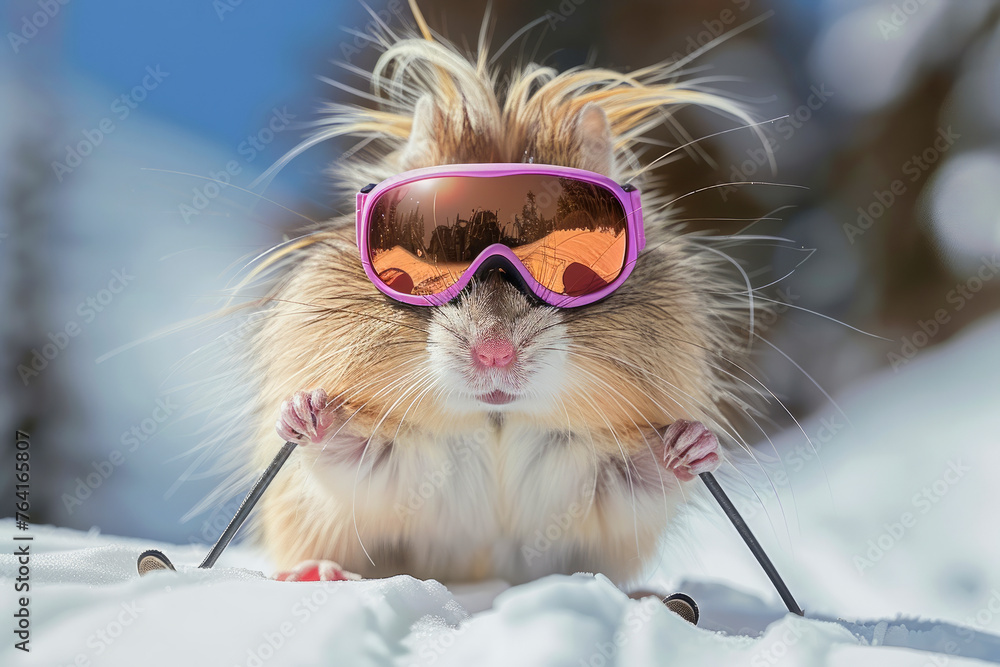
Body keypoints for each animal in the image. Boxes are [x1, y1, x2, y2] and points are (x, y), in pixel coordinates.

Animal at [240, 12, 758, 586]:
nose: (494, 354)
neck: (497, 423)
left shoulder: (602, 476)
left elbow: (645, 480)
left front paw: (691, 442)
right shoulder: (388, 460)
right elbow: (343, 455)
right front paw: (304, 411)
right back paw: (318, 572)